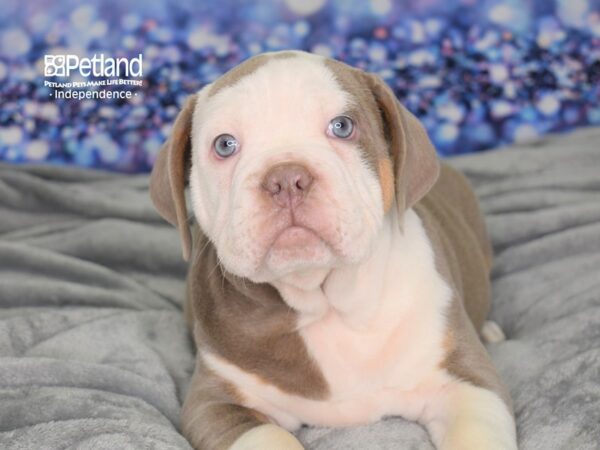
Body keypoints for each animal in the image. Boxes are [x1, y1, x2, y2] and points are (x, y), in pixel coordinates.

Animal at [149, 50, 516, 450]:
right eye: (224, 145)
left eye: (342, 126)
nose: (285, 178)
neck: (325, 302)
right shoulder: (217, 402)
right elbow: (269, 437)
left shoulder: (467, 381)